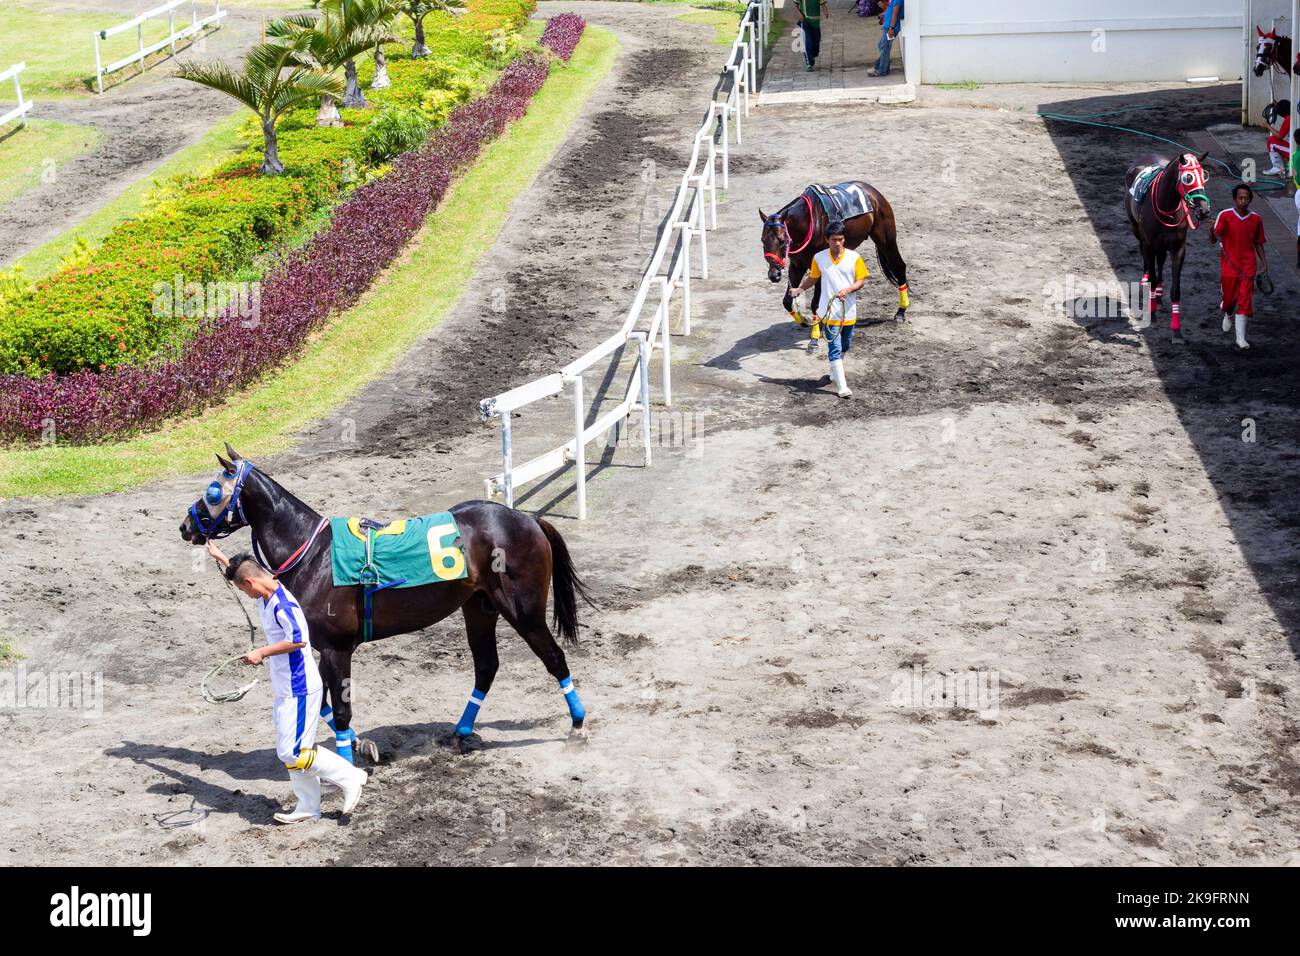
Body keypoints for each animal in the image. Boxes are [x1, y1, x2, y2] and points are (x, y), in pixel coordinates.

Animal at [179, 444, 594, 761]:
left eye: (213, 491)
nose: (186, 526)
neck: (314, 554)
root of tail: (529, 519)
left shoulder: (336, 649)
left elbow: (340, 709)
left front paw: (349, 762)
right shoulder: (318, 646)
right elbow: (325, 704)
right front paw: (361, 747)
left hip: (523, 611)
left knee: (554, 658)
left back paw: (576, 725)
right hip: (479, 607)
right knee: (487, 666)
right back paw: (461, 731)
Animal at [759, 181, 910, 326]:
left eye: (782, 240)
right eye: (763, 240)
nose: (774, 275)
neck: (808, 221)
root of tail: (873, 193)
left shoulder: (818, 268)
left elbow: (815, 304)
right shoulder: (797, 265)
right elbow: (787, 301)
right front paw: (804, 320)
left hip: (886, 239)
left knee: (898, 266)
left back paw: (901, 312)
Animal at [1124, 152, 1212, 342]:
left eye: (1204, 176)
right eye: (1188, 178)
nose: (1204, 210)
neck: (1167, 206)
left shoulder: (1178, 248)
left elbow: (1176, 290)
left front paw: (1176, 332)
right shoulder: (1149, 245)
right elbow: (1152, 275)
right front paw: (1152, 314)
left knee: (1161, 260)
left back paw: (1159, 295)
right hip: (1136, 230)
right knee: (1144, 257)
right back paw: (1146, 286)